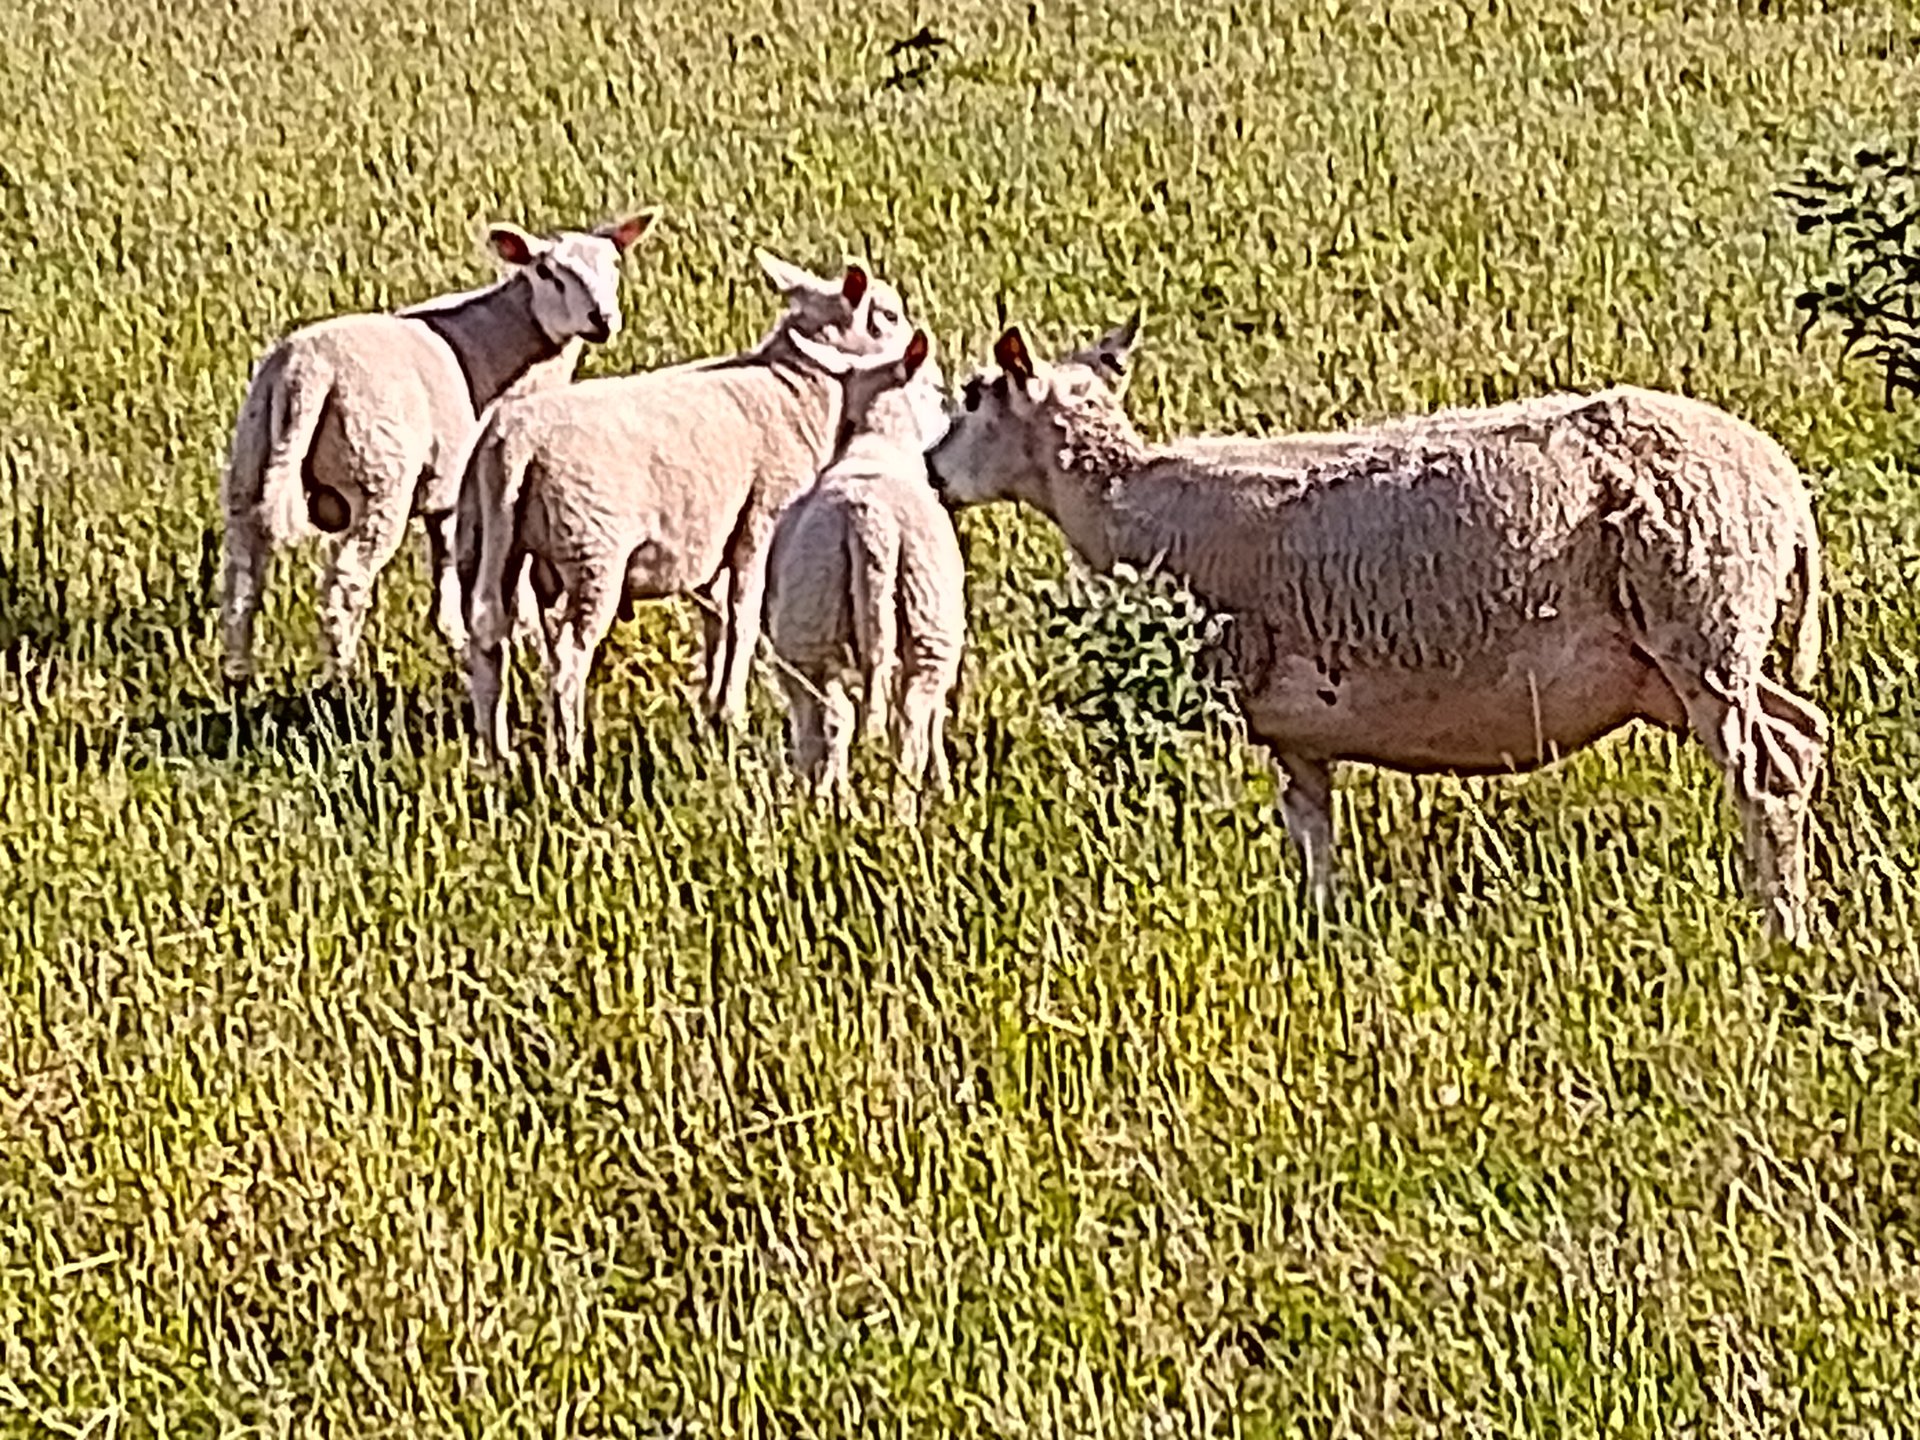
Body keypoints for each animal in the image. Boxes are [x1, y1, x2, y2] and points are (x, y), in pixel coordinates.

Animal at [218, 210, 656, 684]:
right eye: (546, 272)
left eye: (614, 265)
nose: (602, 319)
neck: (515, 337)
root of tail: (306, 372)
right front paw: (525, 641)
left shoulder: (448, 490)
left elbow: (447, 569)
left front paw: (457, 638)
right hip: (379, 476)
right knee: (346, 582)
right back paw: (343, 678)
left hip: (251, 461)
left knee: (242, 575)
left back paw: (237, 675)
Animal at [458, 249, 914, 767]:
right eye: (888, 315)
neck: (799, 391)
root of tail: (512, 443)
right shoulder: (762, 517)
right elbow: (743, 615)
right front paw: (732, 714)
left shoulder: (711, 538)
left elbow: (717, 620)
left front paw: (712, 709)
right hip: (593, 550)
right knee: (571, 654)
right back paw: (570, 760)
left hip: (491, 539)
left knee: (489, 636)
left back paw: (495, 756)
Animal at [766, 327, 965, 808]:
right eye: (936, 388)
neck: (878, 443)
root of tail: (871, 520)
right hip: (929, 625)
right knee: (906, 720)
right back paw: (892, 809)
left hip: (815, 626)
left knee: (837, 717)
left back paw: (826, 802)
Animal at [927, 318, 1829, 943]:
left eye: (973, 395)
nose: (933, 472)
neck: (1117, 495)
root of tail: (1784, 484)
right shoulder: (1295, 728)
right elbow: (1311, 825)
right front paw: (1319, 931)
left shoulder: (1214, 678)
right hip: (1685, 661)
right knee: (1804, 731)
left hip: (1700, 627)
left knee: (1768, 774)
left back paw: (1781, 929)